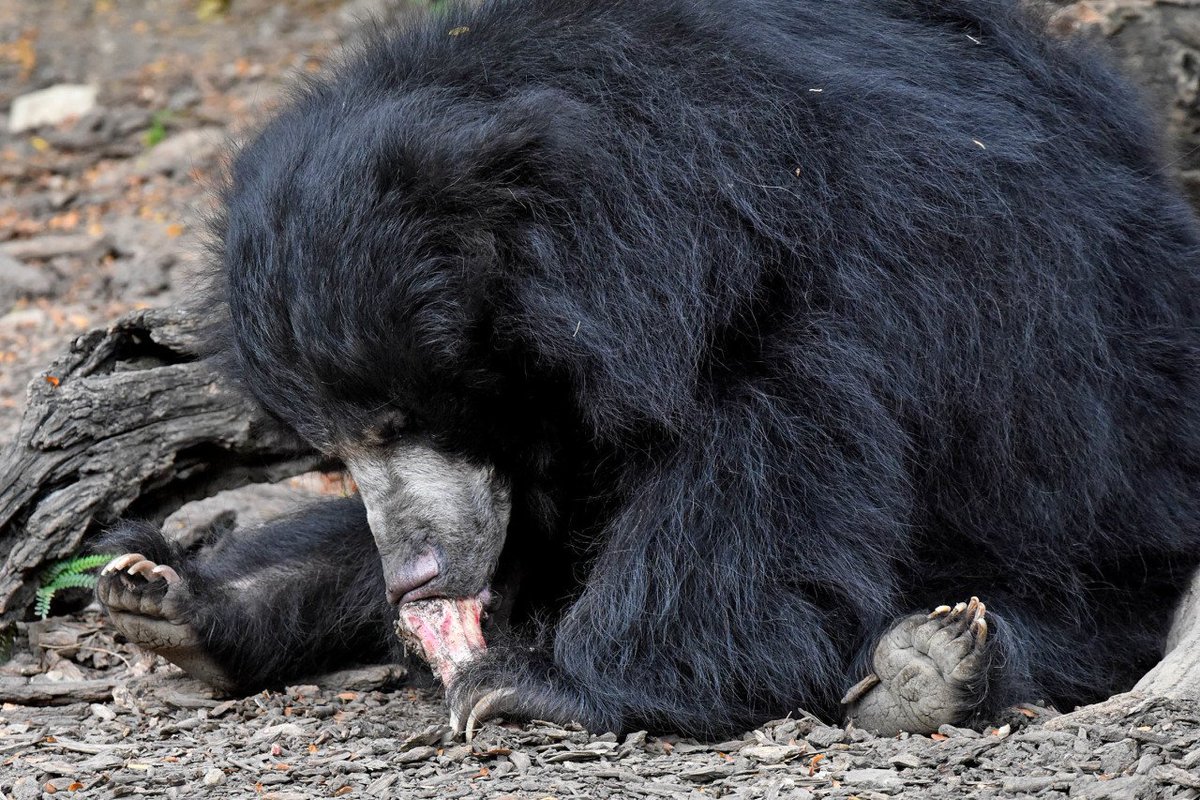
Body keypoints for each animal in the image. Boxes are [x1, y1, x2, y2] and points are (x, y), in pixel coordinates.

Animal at [95, 0, 1200, 739]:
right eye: (332, 444)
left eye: (401, 416)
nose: (416, 576)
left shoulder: (837, 295)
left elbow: (760, 486)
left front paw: (531, 682)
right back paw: (170, 602)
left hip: (1110, 483)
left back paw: (937, 658)